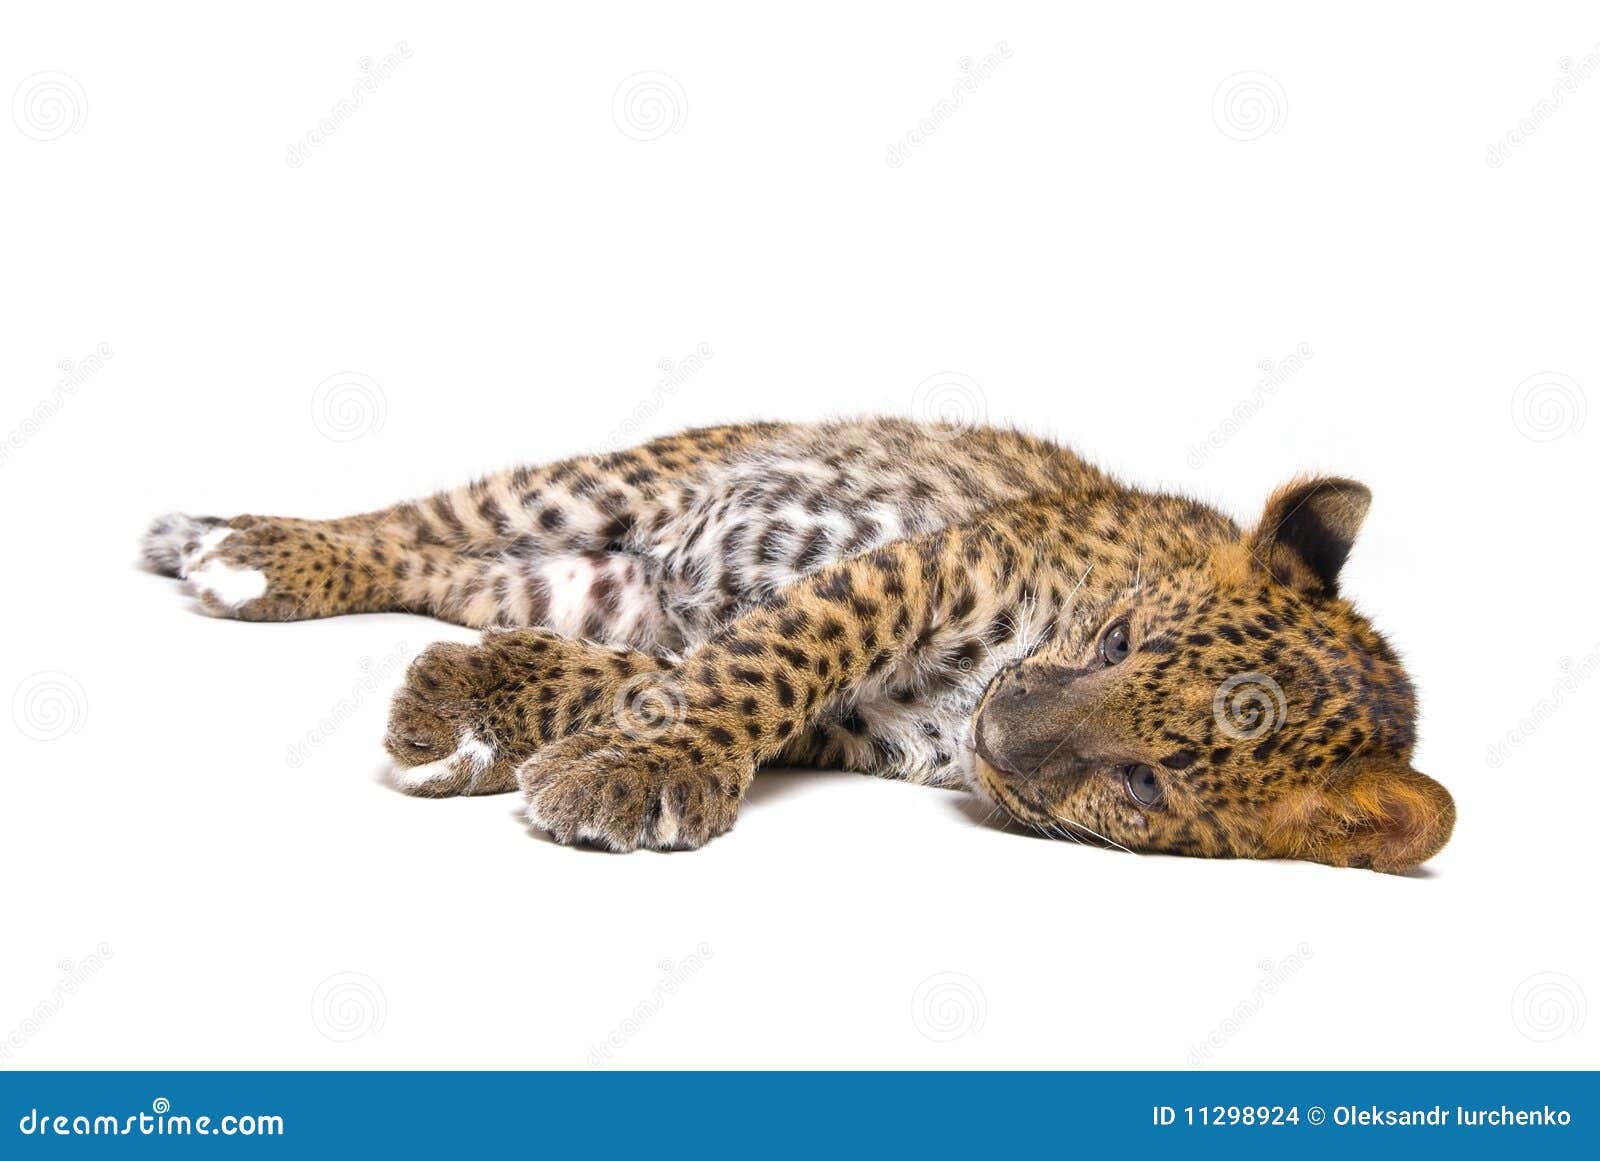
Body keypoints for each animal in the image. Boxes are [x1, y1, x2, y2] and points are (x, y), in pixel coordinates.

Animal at [142, 418, 1454, 872]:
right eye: (1120, 637)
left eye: (1144, 787)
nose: (1002, 732)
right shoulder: (919, 571)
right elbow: (769, 661)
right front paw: (639, 773)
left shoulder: (859, 724)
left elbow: (672, 677)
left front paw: (476, 708)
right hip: (601, 481)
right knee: (410, 523)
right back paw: (228, 542)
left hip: (574, 577)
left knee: (452, 570)